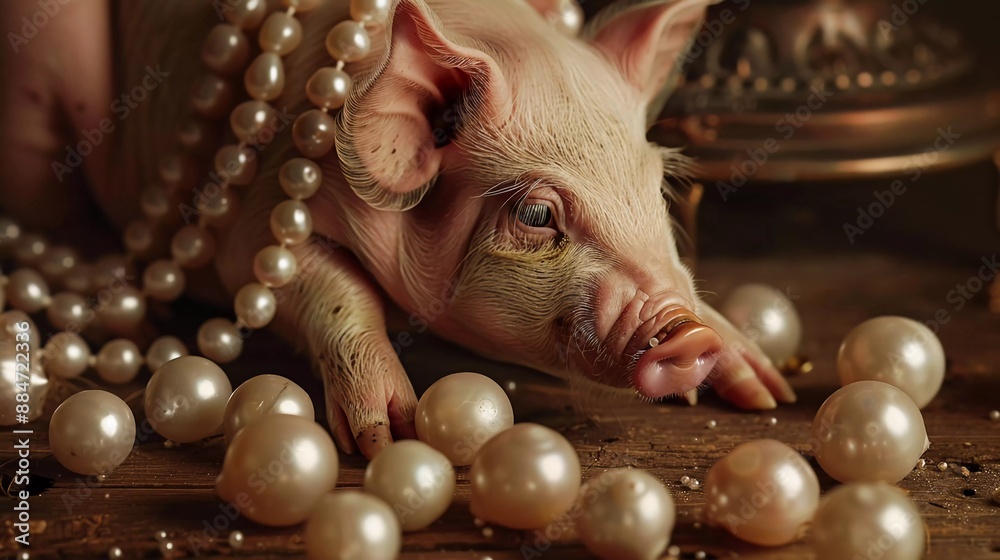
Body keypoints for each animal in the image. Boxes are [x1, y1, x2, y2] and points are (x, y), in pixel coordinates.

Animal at [0, 0, 795, 458]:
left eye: (655, 185)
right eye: (537, 215)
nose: (685, 336)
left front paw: (765, 390)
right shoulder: (256, 224)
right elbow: (336, 289)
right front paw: (392, 433)